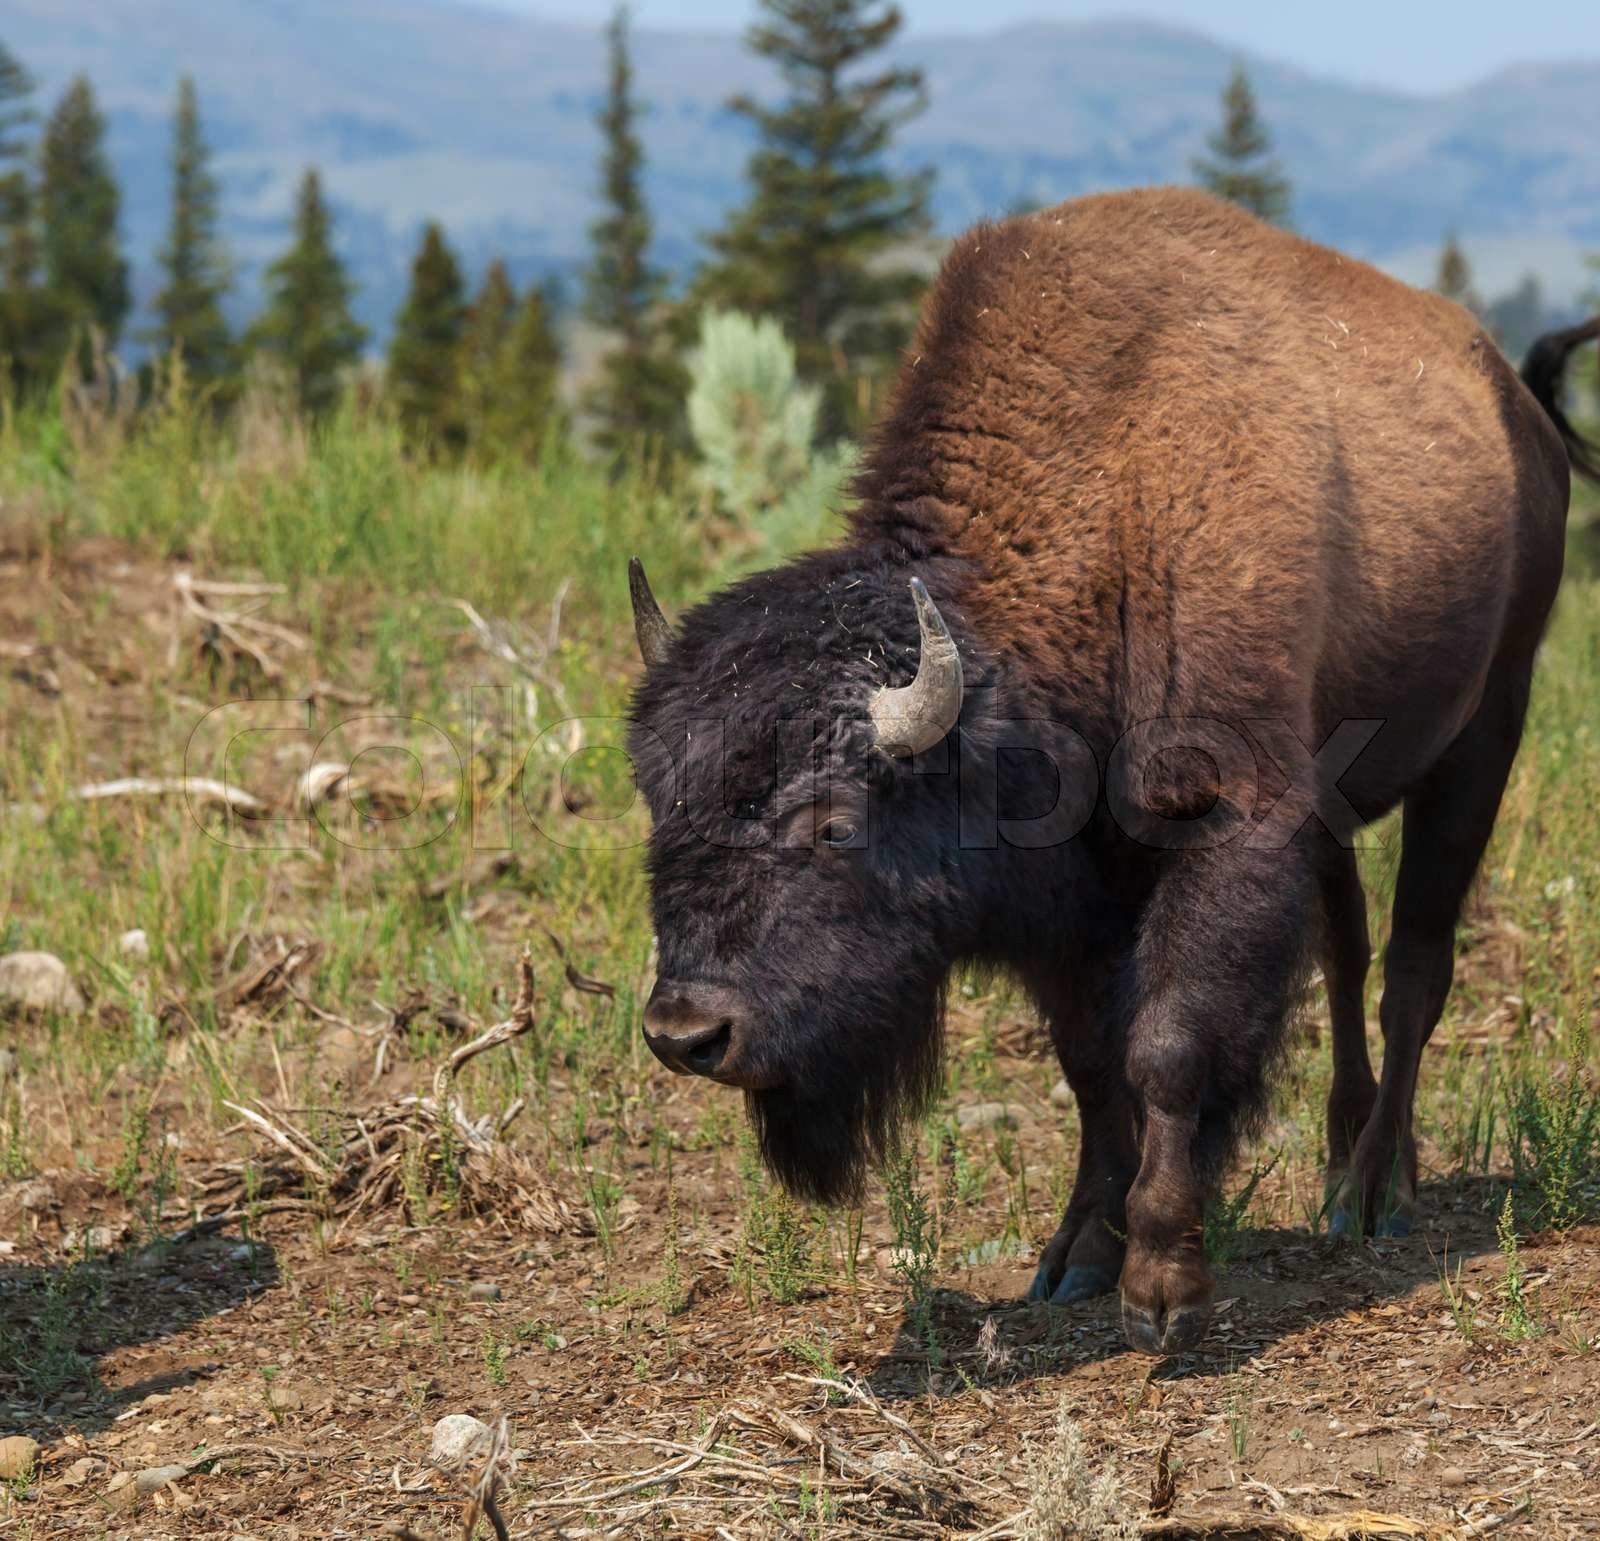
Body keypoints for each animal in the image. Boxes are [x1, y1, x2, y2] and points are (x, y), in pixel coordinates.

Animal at [625, 188, 1599, 1354]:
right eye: (658, 802)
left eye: (832, 822)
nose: (687, 1032)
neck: (1104, 503)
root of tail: (1519, 408)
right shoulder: (1073, 894)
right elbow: (1090, 1065)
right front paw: (1076, 1254)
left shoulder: (1229, 821)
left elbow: (1167, 1045)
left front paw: (1162, 1284)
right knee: (1349, 954)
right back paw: (1345, 1165)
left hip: (1482, 735)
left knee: (1415, 963)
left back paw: (1374, 1197)